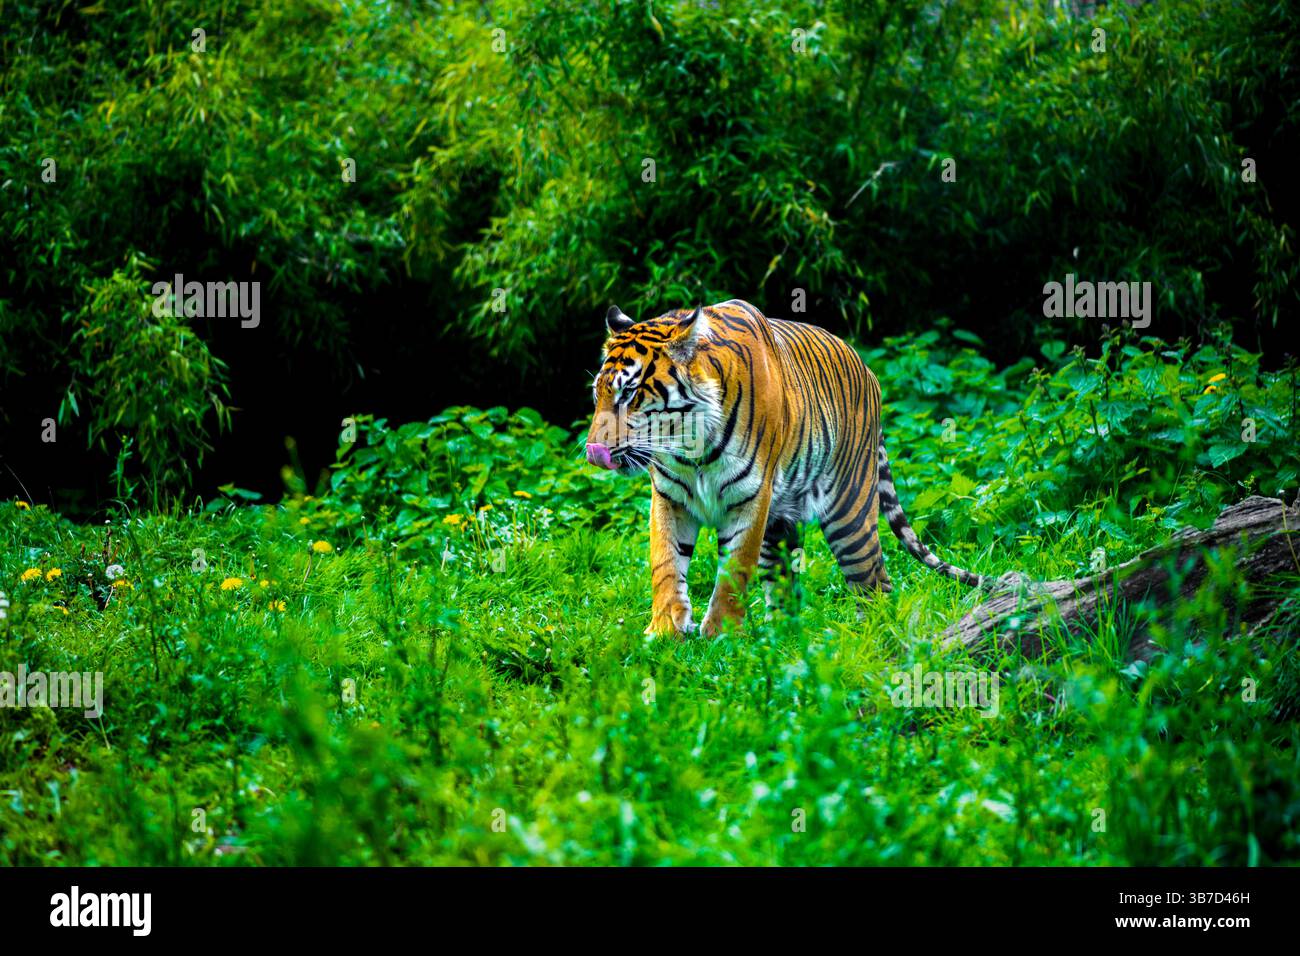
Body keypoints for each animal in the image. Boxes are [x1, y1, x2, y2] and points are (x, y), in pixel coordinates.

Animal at [585, 299, 984, 637]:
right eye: (597, 394)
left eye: (629, 394)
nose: (592, 452)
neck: (690, 446)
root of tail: (868, 369)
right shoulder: (671, 499)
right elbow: (665, 563)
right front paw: (666, 630)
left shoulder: (750, 498)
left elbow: (734, 570)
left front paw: (719, 635)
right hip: (781, 525)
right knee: (788, 590)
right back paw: (779, 640)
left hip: (849, 514)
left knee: (875, 580)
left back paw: (870, 639)